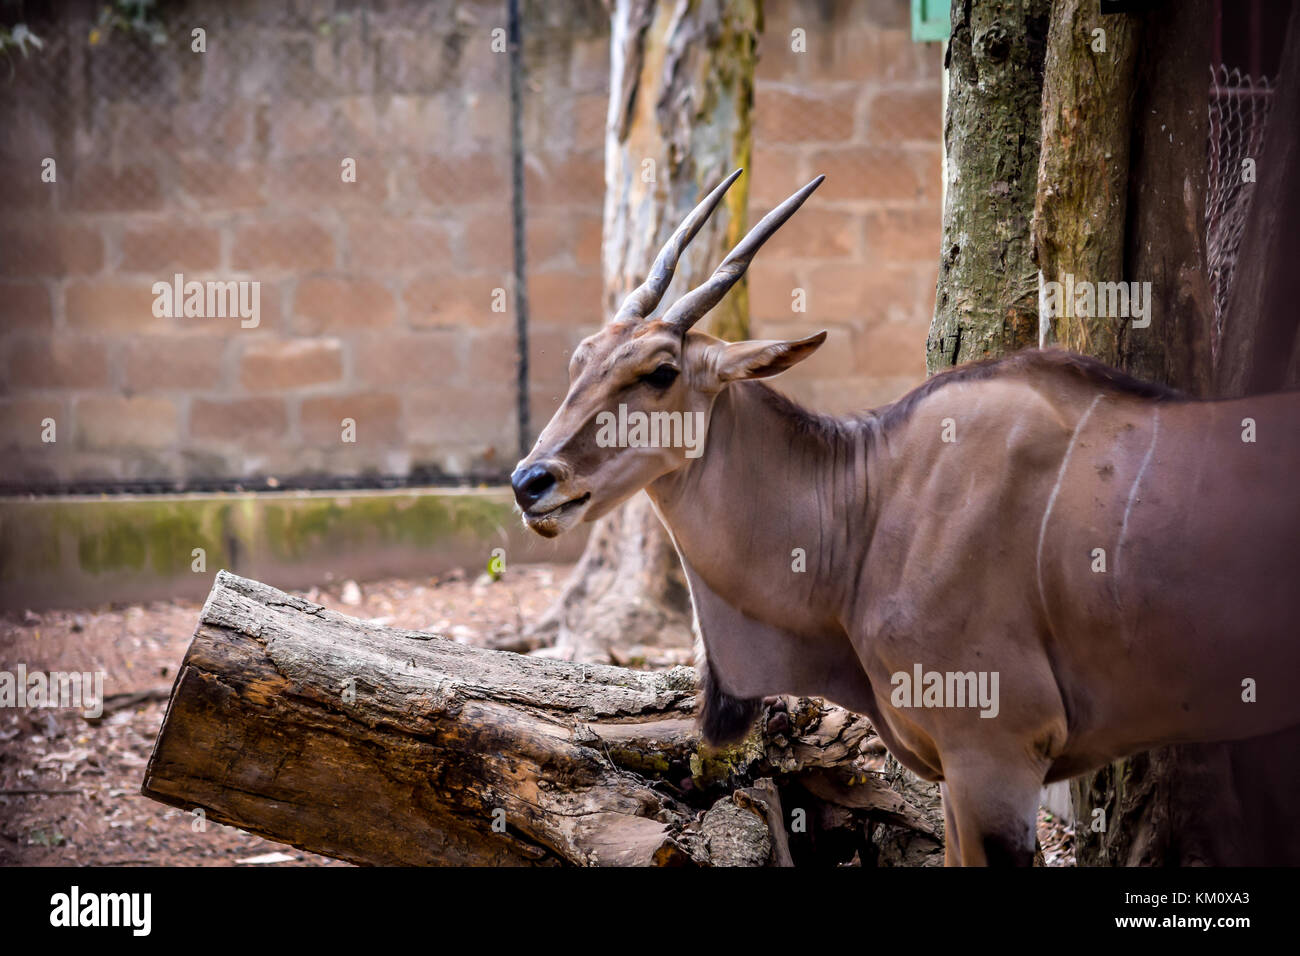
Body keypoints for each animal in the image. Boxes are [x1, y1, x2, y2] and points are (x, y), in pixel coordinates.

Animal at [511, 170, 1300, 865]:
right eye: (580, 360)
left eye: (661, 372)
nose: (530, 482)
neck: (869, 504)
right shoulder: (957, 775)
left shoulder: (994, 756)